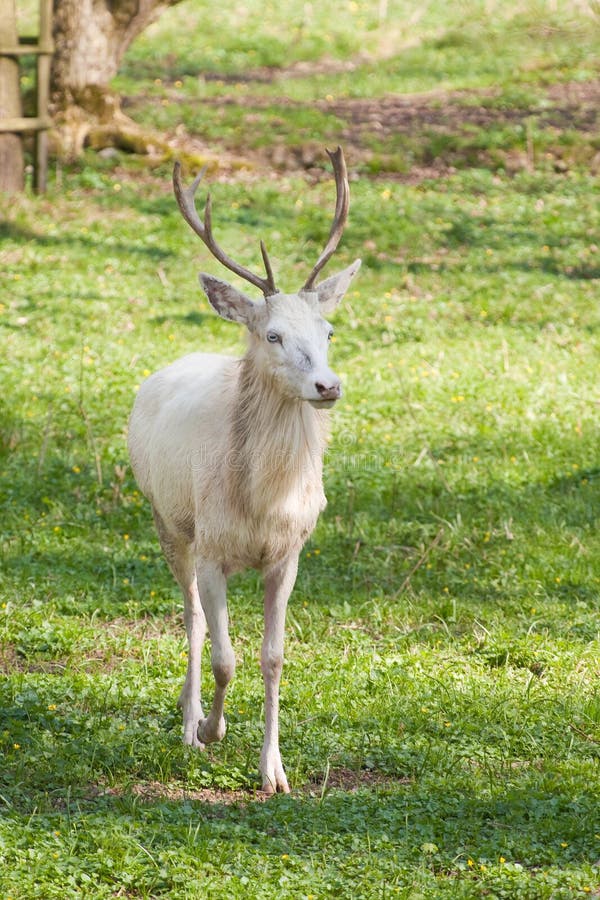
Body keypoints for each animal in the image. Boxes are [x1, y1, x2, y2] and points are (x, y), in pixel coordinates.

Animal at [127, 147, 360, 794]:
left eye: (329, 331)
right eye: (273, 334)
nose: (327, 386)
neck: (262, 504)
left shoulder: (289, 552)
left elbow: (272, 657)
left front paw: (273, 772)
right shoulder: (213, 547)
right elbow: (224, 656)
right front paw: (212, 730)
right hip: (167, 520)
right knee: (191, 617)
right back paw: (188, 724)